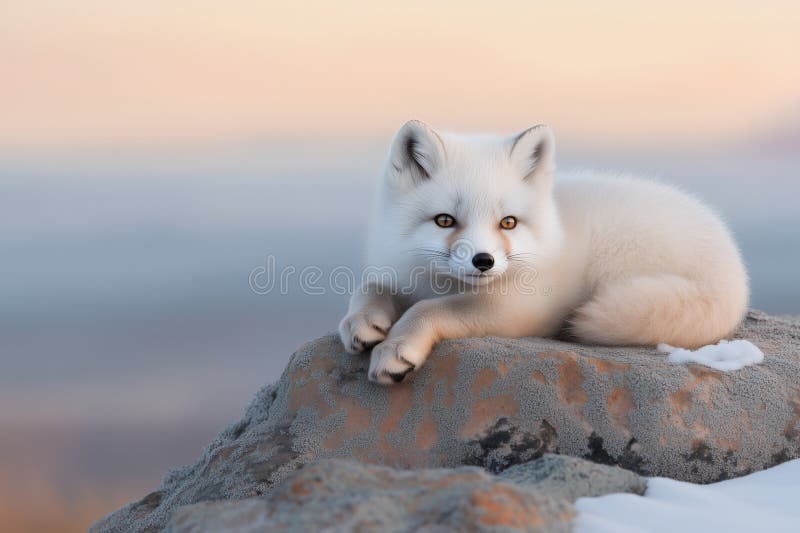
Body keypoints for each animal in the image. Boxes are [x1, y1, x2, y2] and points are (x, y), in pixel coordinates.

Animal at [339, 120, 749, 385]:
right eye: (445, 220)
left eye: (507, 223)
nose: (483, 261)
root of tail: (735, 270)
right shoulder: (399, 271)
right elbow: (371, 286)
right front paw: (360, 322)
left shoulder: (519, 308)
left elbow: (428, 309)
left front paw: (396, 349)